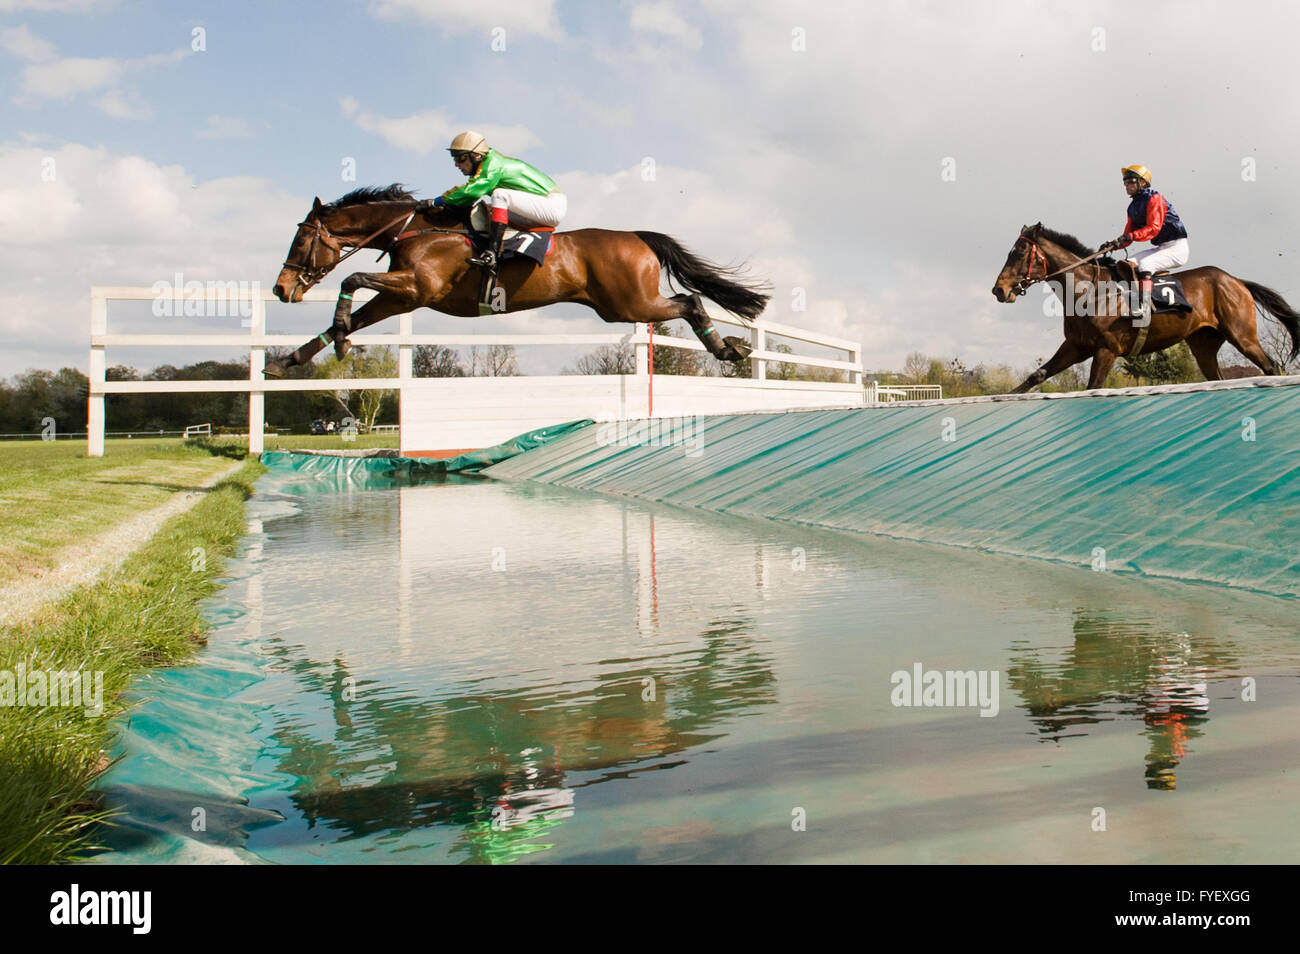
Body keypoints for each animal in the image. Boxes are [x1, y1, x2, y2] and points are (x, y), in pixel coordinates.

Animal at [268, 185, 769, 376]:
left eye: (300, 240)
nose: (281, 289)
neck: (416, 230)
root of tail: (636, 236)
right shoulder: (403, 298)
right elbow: (351, 314)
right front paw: (293, 358)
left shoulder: (417, 288)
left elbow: (351, 277)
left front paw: (339, 342)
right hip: (618, 306)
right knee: (688, 299)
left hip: (628, 303)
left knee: (689, 301)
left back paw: (727, 348)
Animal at [991, 223, 1300, 392]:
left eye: (1019, 252)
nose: (999, 290)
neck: (1089, 291)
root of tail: (1236, 281)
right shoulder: (1076, 346)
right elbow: (1037, 375)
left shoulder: (1106, 350)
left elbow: (1093, 387)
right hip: (1204, 345)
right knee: (1218, 379)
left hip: (1242, 335)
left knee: (1271, 367)